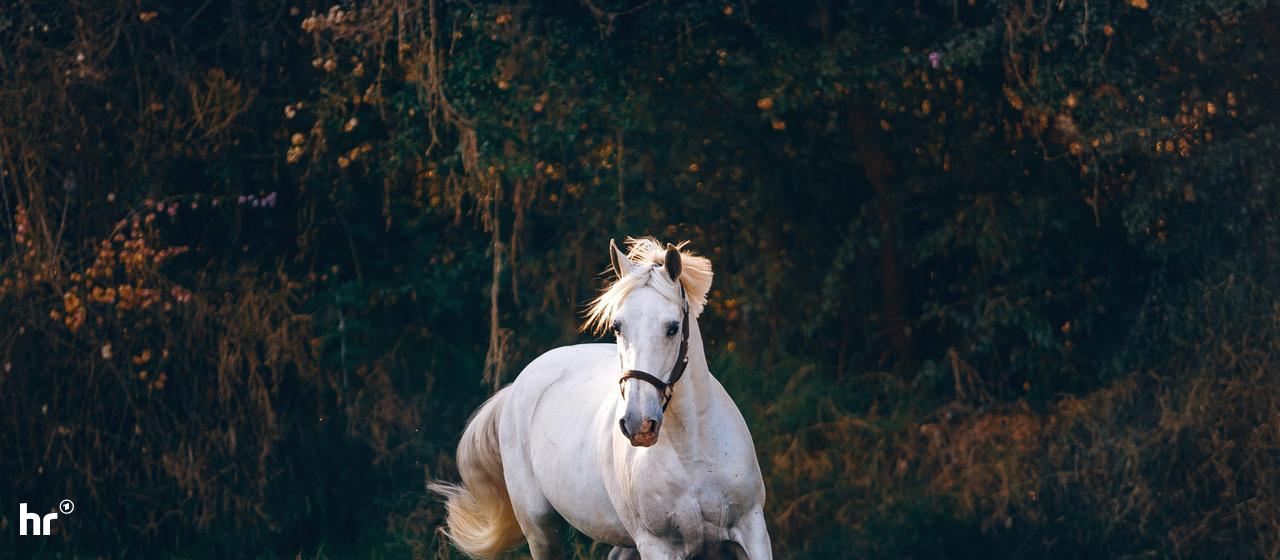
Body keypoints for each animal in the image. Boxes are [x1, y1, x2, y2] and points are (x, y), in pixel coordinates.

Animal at [430, 238, 772, 559]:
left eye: (673, 328)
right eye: (617, 326)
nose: (638, 425)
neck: (694, 453)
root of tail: (516, 387)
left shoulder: (752, 532)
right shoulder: (657, 545)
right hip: (542, 529)